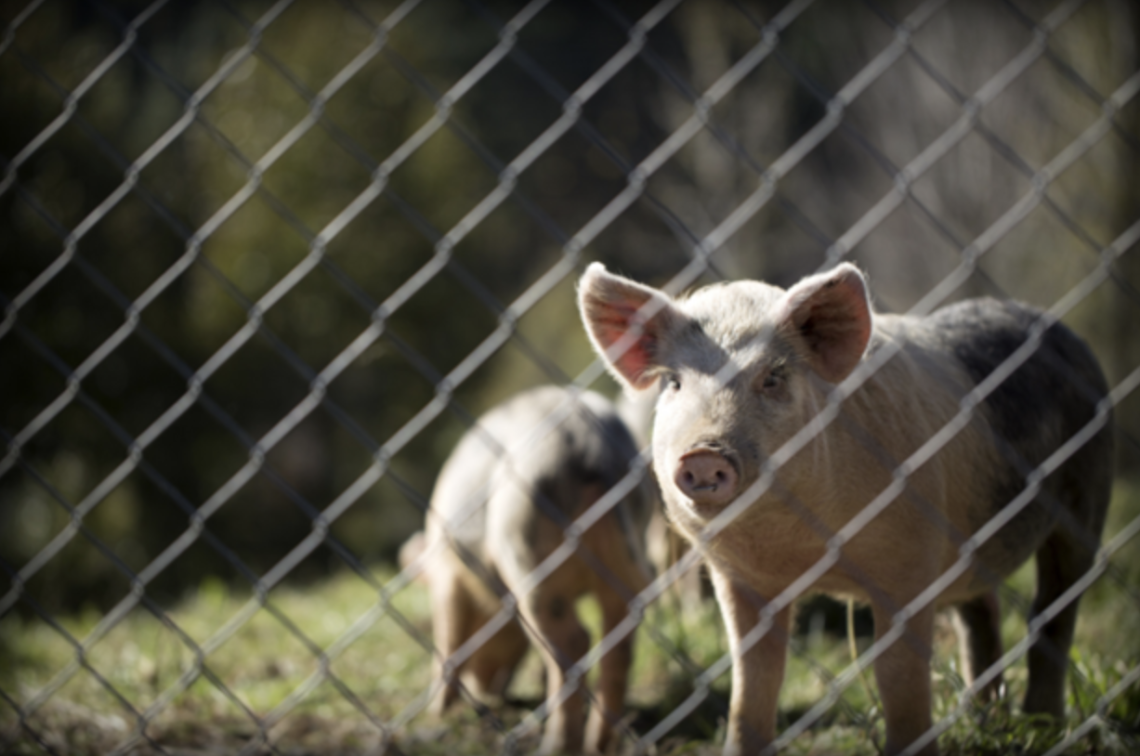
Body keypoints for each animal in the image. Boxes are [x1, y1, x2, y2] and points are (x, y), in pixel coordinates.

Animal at [422, 385, 654, 755]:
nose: (489, 692)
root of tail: (590, 446)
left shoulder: (447, 573)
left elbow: (448, 635)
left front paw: (435, 714)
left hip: (524, 543)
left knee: (574, 640)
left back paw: (554, 746)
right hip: (628, 550)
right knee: (619, 638)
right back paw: (598, 745)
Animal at [577, 262, 1113, 756]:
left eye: (774, 377)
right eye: (673, 383)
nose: (704, 454)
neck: (803, 549)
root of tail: (1059, 330)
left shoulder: (910, 562)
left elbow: (896, 675)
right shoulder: (739, 578)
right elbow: (753, 680)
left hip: (1087, 491)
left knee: (1053, 609)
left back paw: (1043, 726)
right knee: (982, 610)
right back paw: (988, 721)